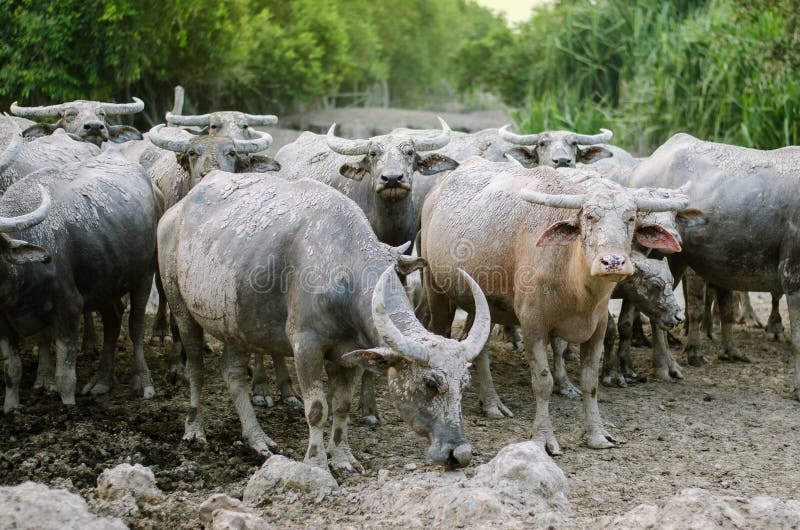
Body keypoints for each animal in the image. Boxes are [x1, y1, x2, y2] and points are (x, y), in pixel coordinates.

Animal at [0, 151, 159, 412]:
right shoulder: (3, 323)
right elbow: (11, 370)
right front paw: (11, 409)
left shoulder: (69, 309)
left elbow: (65, 375)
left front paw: (68, 408)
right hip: (106, 280)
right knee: (113, 320)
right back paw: (101, 381)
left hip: (144, 276)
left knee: (135, 327)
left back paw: (144, 382)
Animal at [157, 170, 491, 471]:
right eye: (430, 383)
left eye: (464, 384)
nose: (459, 453)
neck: (343, 272)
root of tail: (175, 211)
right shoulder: (306, 346)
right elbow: (317, 408)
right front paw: (316, 462)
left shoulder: (349, 355)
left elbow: (341, 407)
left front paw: (343, 459)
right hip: (181, 307)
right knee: (196, 368)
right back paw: (195, 430)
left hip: (236, 325)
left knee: (232, 373)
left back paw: (258, 440)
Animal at [421, 158, 687, 454]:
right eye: (589, 217)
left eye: (630, 218)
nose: (613, 262)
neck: (575, 283)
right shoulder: (533, 327)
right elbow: (543, 382)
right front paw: (544, 437)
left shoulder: (597, 328)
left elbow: (589, 381)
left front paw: (597, 434)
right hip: (435, 288)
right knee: (441, 331)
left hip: (484, 306)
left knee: (479, 346)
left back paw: (492, 404)